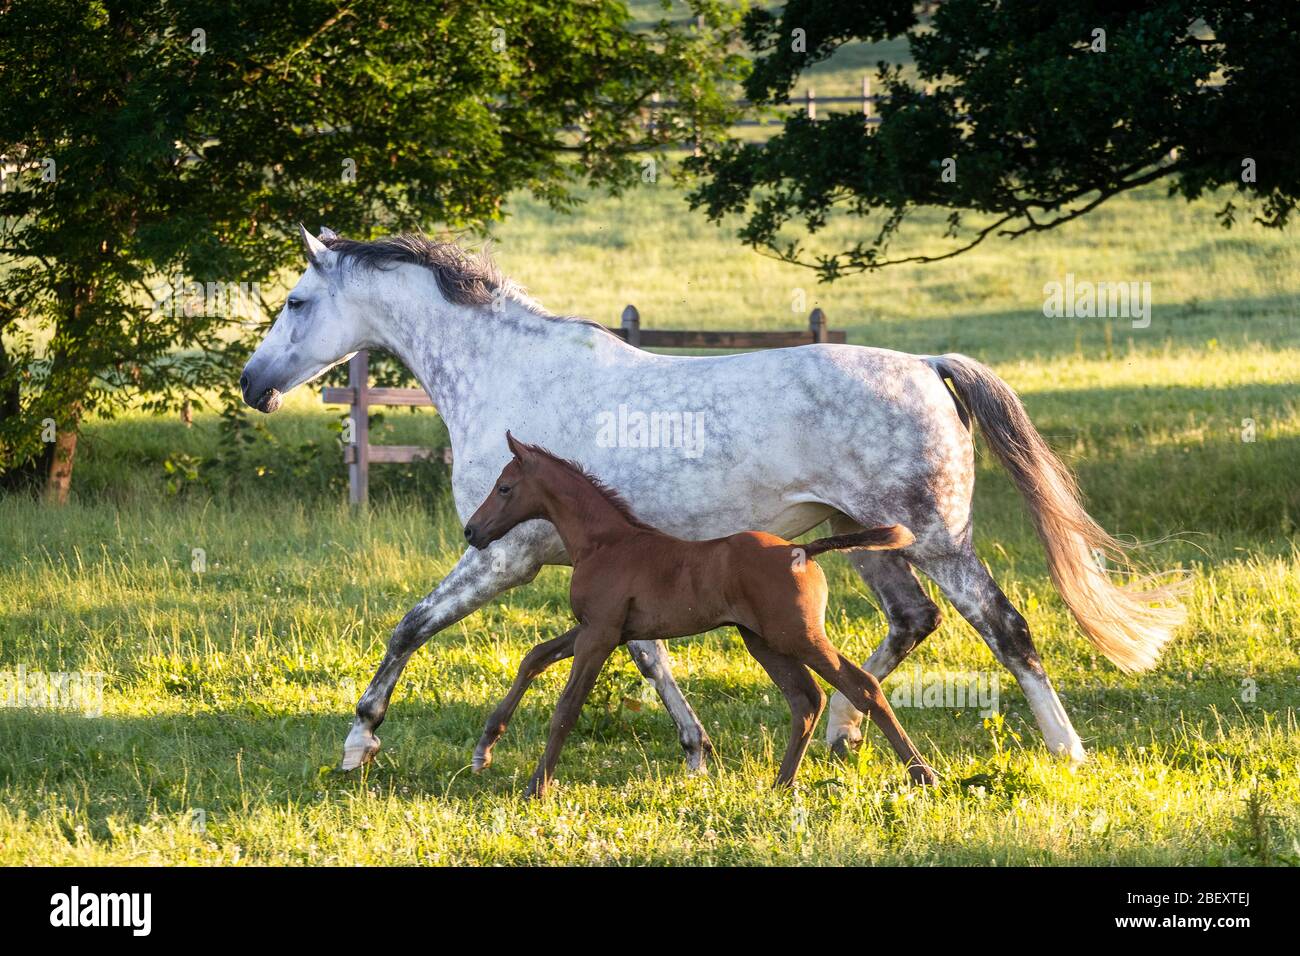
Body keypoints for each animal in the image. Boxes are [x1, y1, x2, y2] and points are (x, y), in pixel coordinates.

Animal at [463, 432, 937, 796]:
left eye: (504, 487)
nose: (471, 531)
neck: (604, 543)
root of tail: (802, 549)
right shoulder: (599, 629)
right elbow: (534, 658)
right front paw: (484, 748)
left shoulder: (600, 634)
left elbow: (567, 707)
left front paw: (535, 788)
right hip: (763, 641)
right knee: (806, 699)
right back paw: (781, 785)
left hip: (797, 636)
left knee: (861, 686)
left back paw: (923, 775)